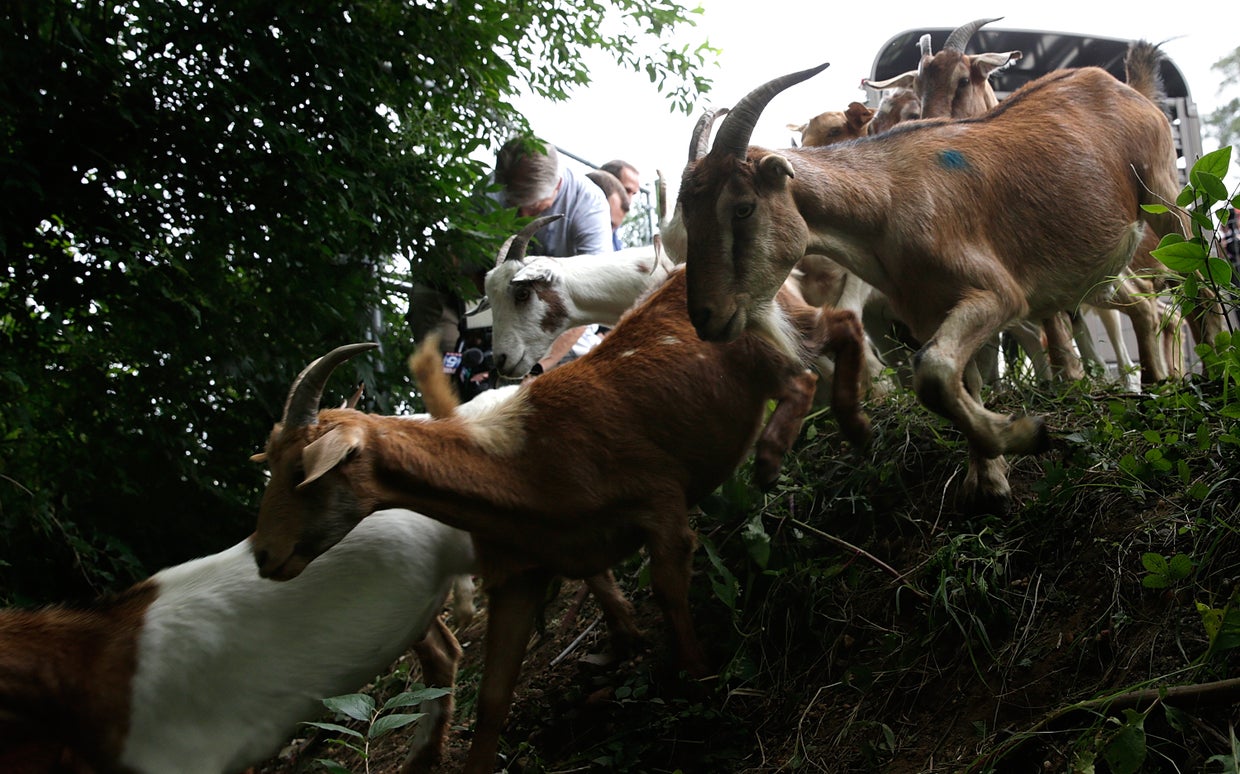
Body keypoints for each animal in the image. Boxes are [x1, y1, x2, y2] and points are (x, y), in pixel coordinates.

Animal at [248, 219, 872, 773]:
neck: (521, 459)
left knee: (825, 344)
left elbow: (671, 595)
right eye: (271, 466)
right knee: (832, 337)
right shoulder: (520, 576)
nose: (264, 554)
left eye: (307, 470)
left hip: (768, 337)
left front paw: (700, 684)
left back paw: (803, 441)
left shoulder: (660, 508)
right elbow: (493, 698)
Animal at [676, 53, 1185, 514]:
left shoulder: (996, 295)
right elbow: (964, 381)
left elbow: (934, 372)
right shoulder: (930, 312)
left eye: (743, 207)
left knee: (1190, 275)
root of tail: (1117, 84)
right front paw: (989, 485)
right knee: (1148, 306)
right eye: (688, 215)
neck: (887, 200)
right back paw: (1157, 386)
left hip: (1164, 198)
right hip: (1099, 267)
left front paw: (1026, 434)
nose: (706, 316)